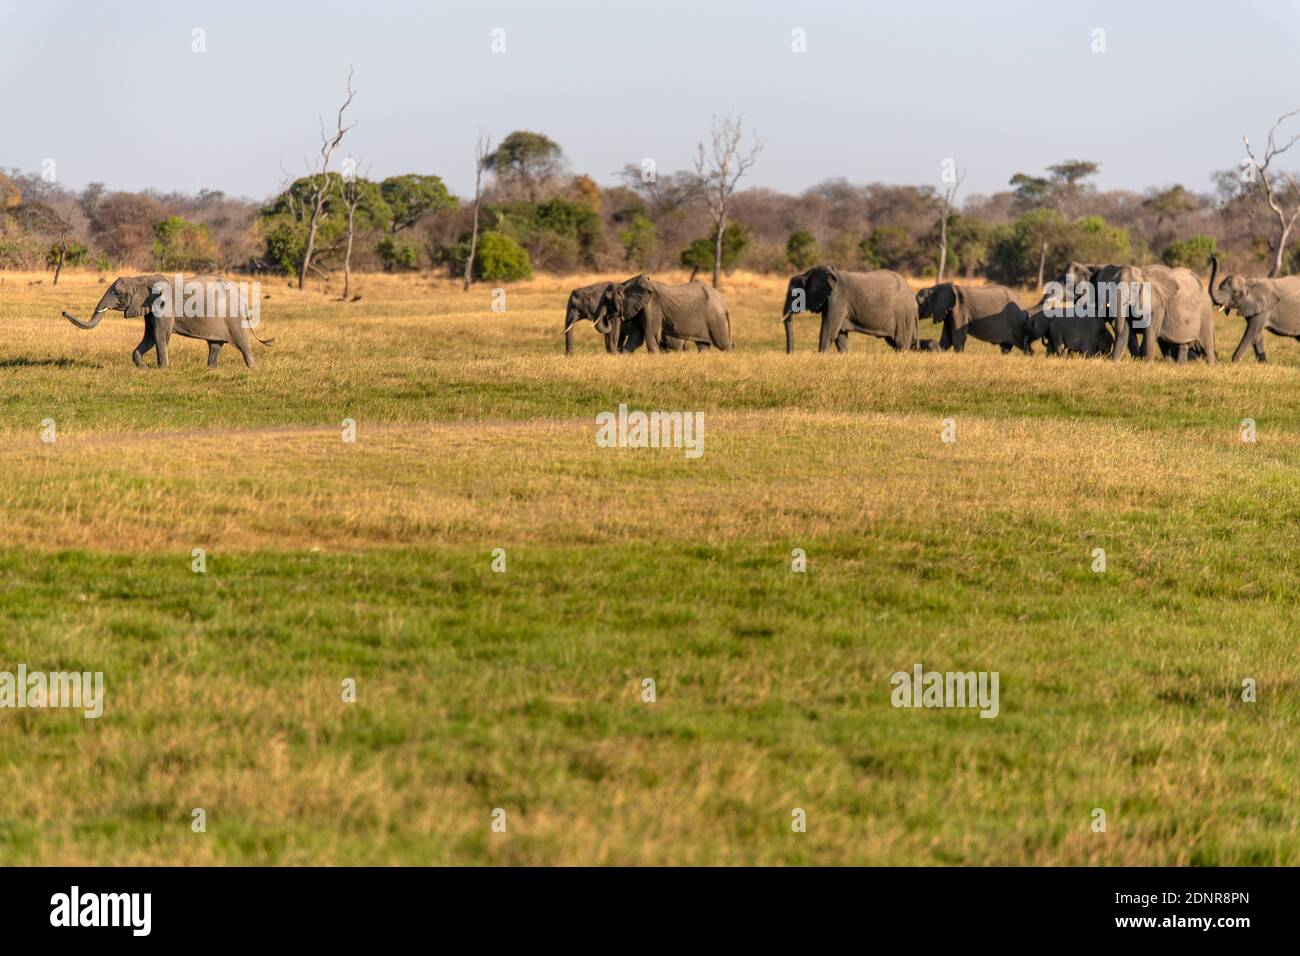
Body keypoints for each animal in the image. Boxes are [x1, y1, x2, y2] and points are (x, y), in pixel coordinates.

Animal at [62, 273, 272, 367]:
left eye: (117, 293)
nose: (63, 312)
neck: (142, 278)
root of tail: (242, 296)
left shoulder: (164, 306)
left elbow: (159, 335)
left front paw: (162, 369)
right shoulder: (150, 309)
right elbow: (149, 336)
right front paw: (144, 368)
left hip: (232, 316)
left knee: (242, 342)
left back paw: (252, 369)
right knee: (215, 344)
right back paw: (210, 369)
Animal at [596, 274, 733, 352]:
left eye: (607, 299)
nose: (609, 317)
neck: (626, 284)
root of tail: (724, 303)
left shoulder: (652, 306)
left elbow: (651, 336)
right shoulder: (640, 309)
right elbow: (636, 338)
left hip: (716, 318)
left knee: (723, 344)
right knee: (703, 345)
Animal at [781, 265, 917, 352]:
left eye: (794, 294)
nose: (790, 354)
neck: (808, 273)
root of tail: (912, 293)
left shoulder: (837, 298)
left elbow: (829, 331)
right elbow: (840, 335)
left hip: (904, 316)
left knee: (901, 343)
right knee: (895, 343)